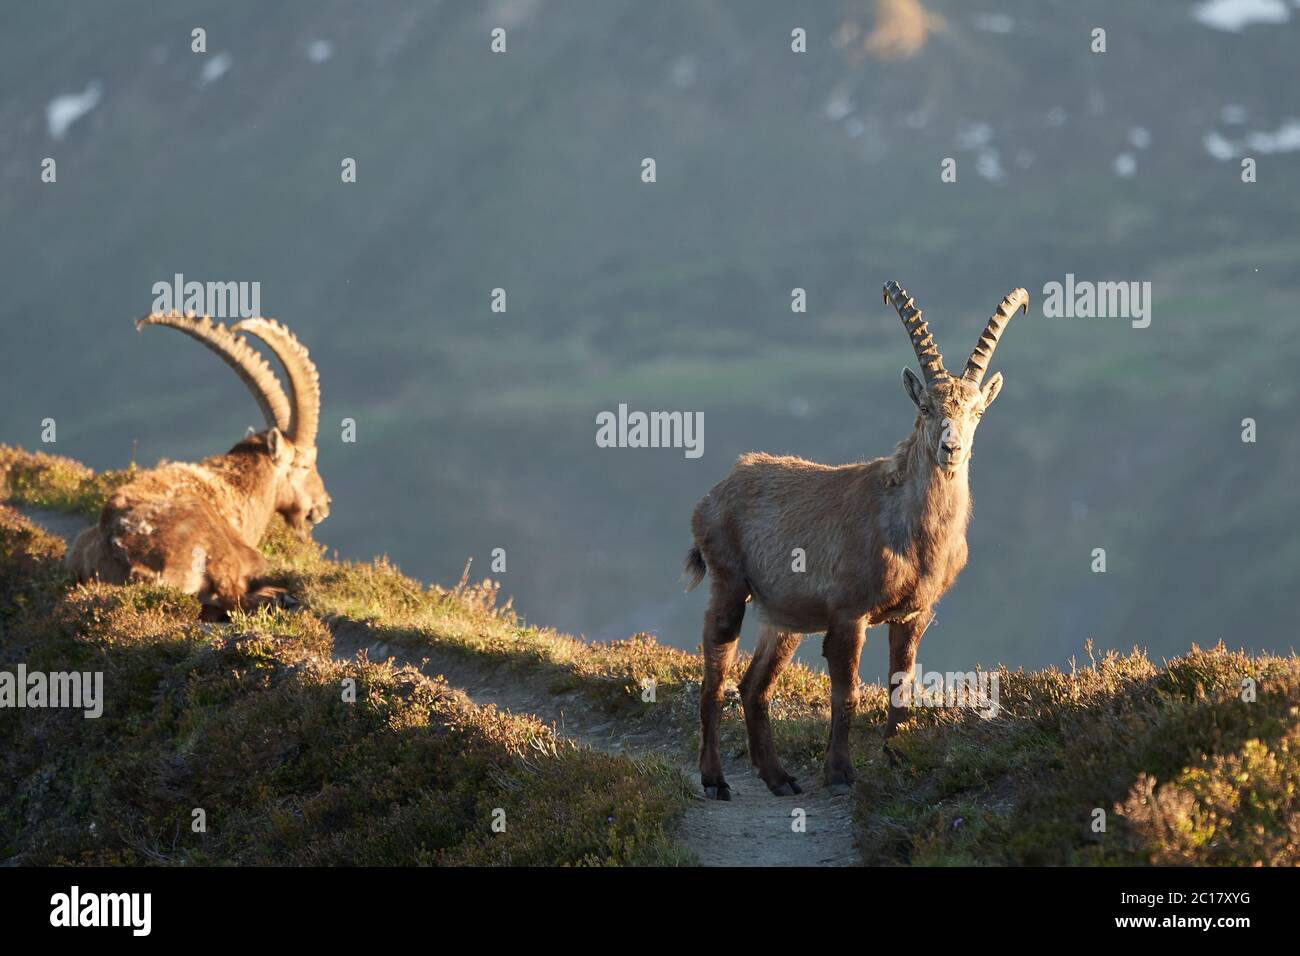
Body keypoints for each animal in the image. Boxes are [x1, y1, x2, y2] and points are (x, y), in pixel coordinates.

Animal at [685, 281, 1027, 799]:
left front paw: (898, 756)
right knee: (714, 679)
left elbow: (901, 686)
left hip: (784, 618)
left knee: (753, 686)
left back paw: (778, 778)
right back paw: (715, 780)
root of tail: (717, 490)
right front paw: (840, 773)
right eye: (925, 406)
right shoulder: (849, 615)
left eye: (977, 410)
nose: (951, 448)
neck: (911, 531)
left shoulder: (913, 614)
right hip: (729, 585)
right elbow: (846, 697)